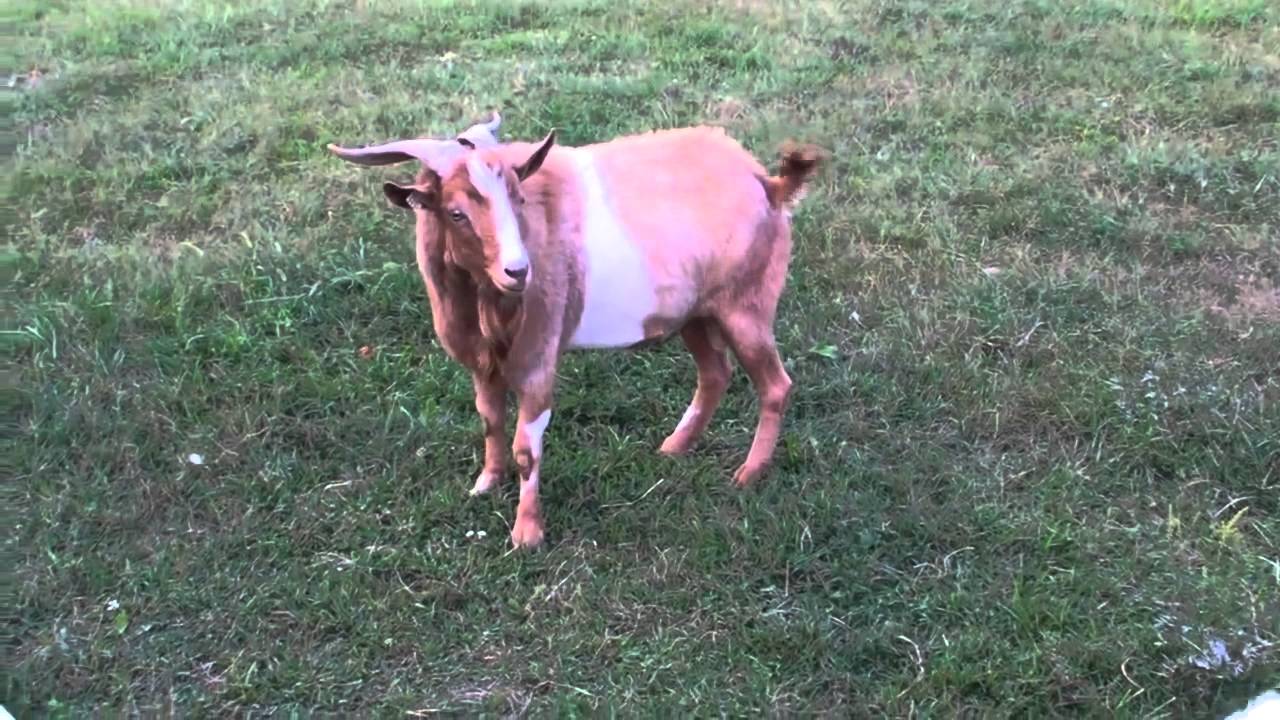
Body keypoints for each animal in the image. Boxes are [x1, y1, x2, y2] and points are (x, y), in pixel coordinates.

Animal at [329, 113, 822, 548]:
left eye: (519, 199)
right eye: (455, 213)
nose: (518, 271)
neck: (484, 302)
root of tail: (769, 185)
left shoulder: (538, 353)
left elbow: (527, 447)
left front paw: (527, 534)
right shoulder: (482, 362)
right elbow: (489, 420)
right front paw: (486, 483)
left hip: (745, 305)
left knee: (774, 385)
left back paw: (748, 474)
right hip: (696, 313)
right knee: (715, 373)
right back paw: (674, 447)